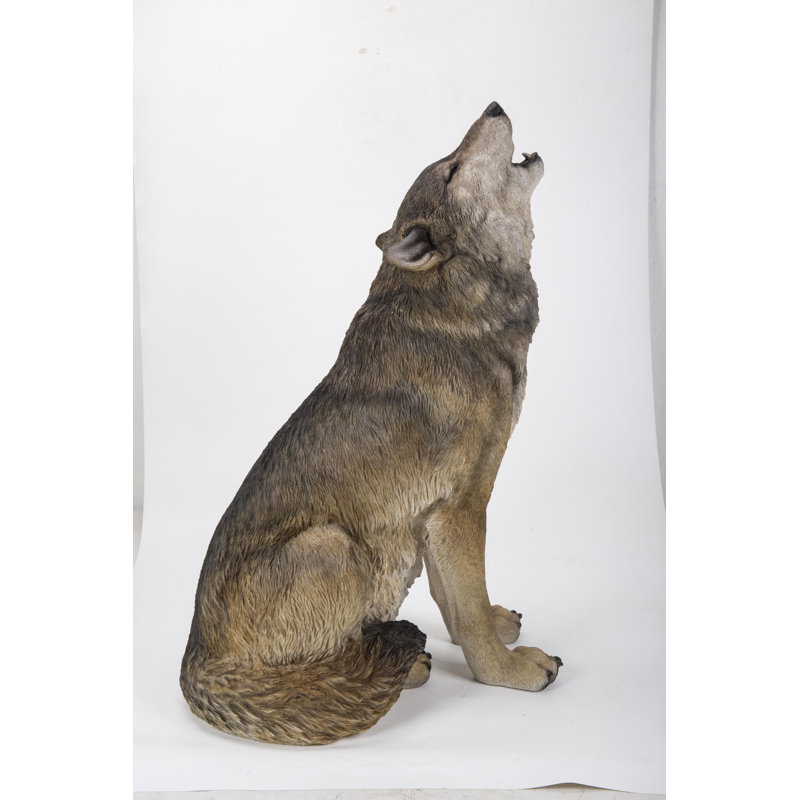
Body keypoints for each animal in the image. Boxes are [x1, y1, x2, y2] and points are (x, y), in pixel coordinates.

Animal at [180, 101, 561, 745]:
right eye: (452, 169)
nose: (494, 106)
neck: (460, 308)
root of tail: (193, 664)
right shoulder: (460, 508)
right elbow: (468, 605)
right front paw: (506, 671)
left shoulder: (431, 521)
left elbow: (458, 602)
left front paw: (491, 626)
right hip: (333, 544)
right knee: (305, 679)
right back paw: (395, 668)